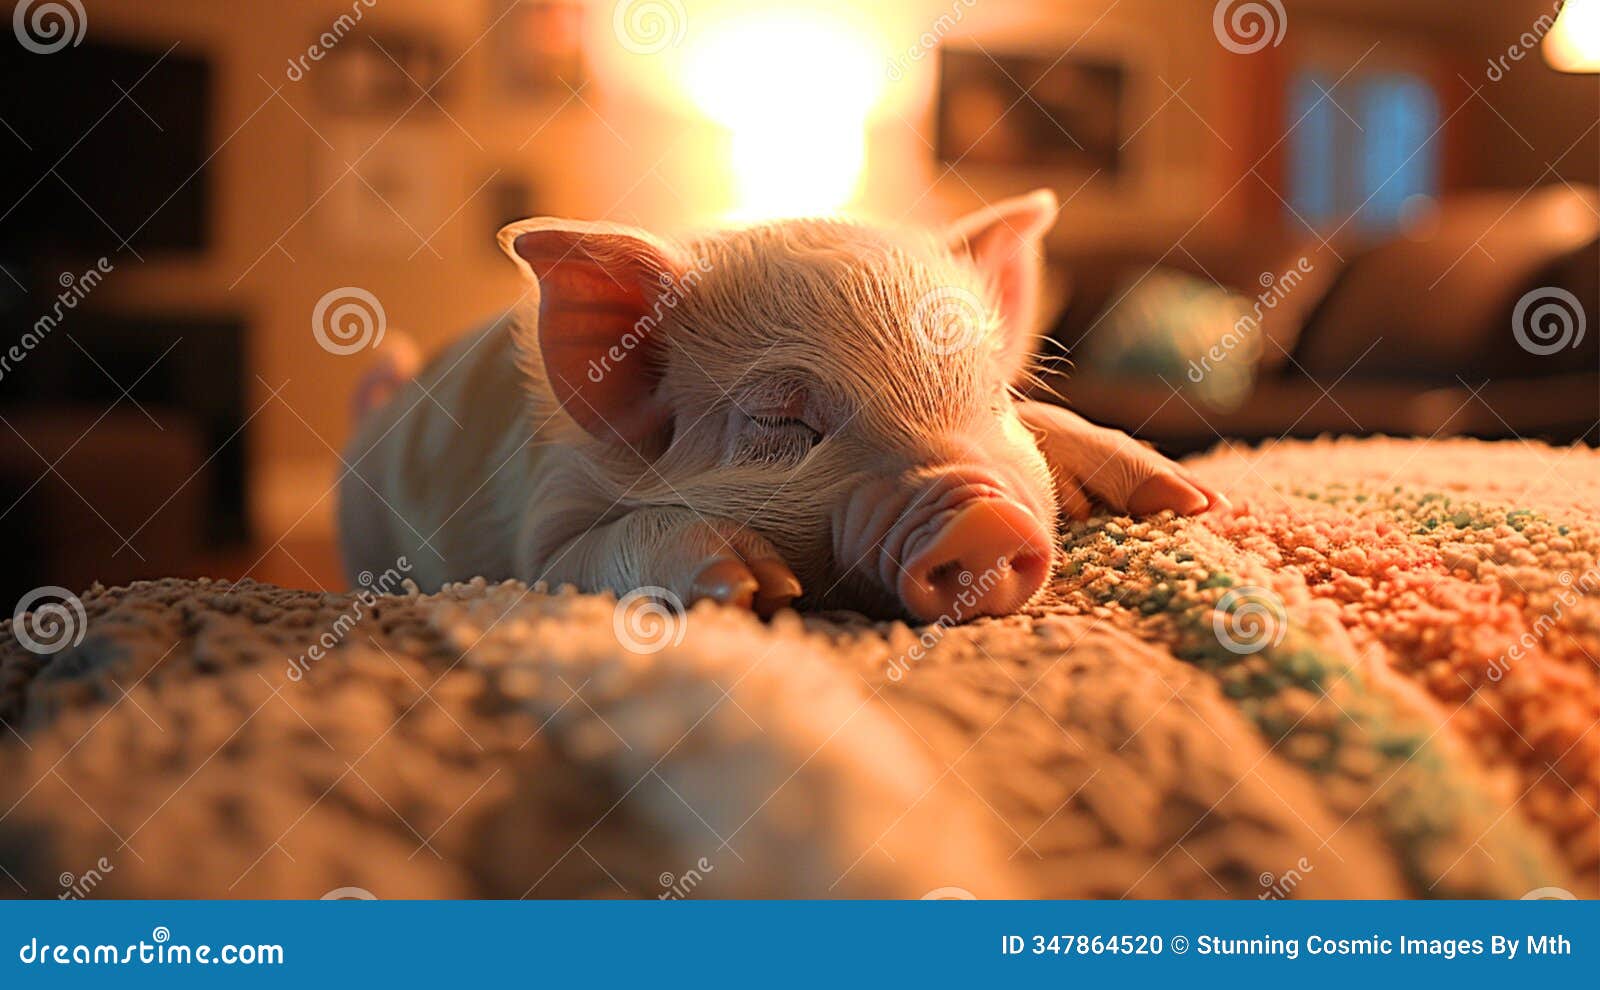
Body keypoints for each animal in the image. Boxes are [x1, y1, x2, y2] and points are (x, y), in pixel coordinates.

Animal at [337, 190, 1224, 623]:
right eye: (783, 421)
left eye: (991, 395)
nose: (984, 518)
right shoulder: (539, 533)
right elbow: (595, 553)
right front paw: (754, 587)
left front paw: (1187, 497)